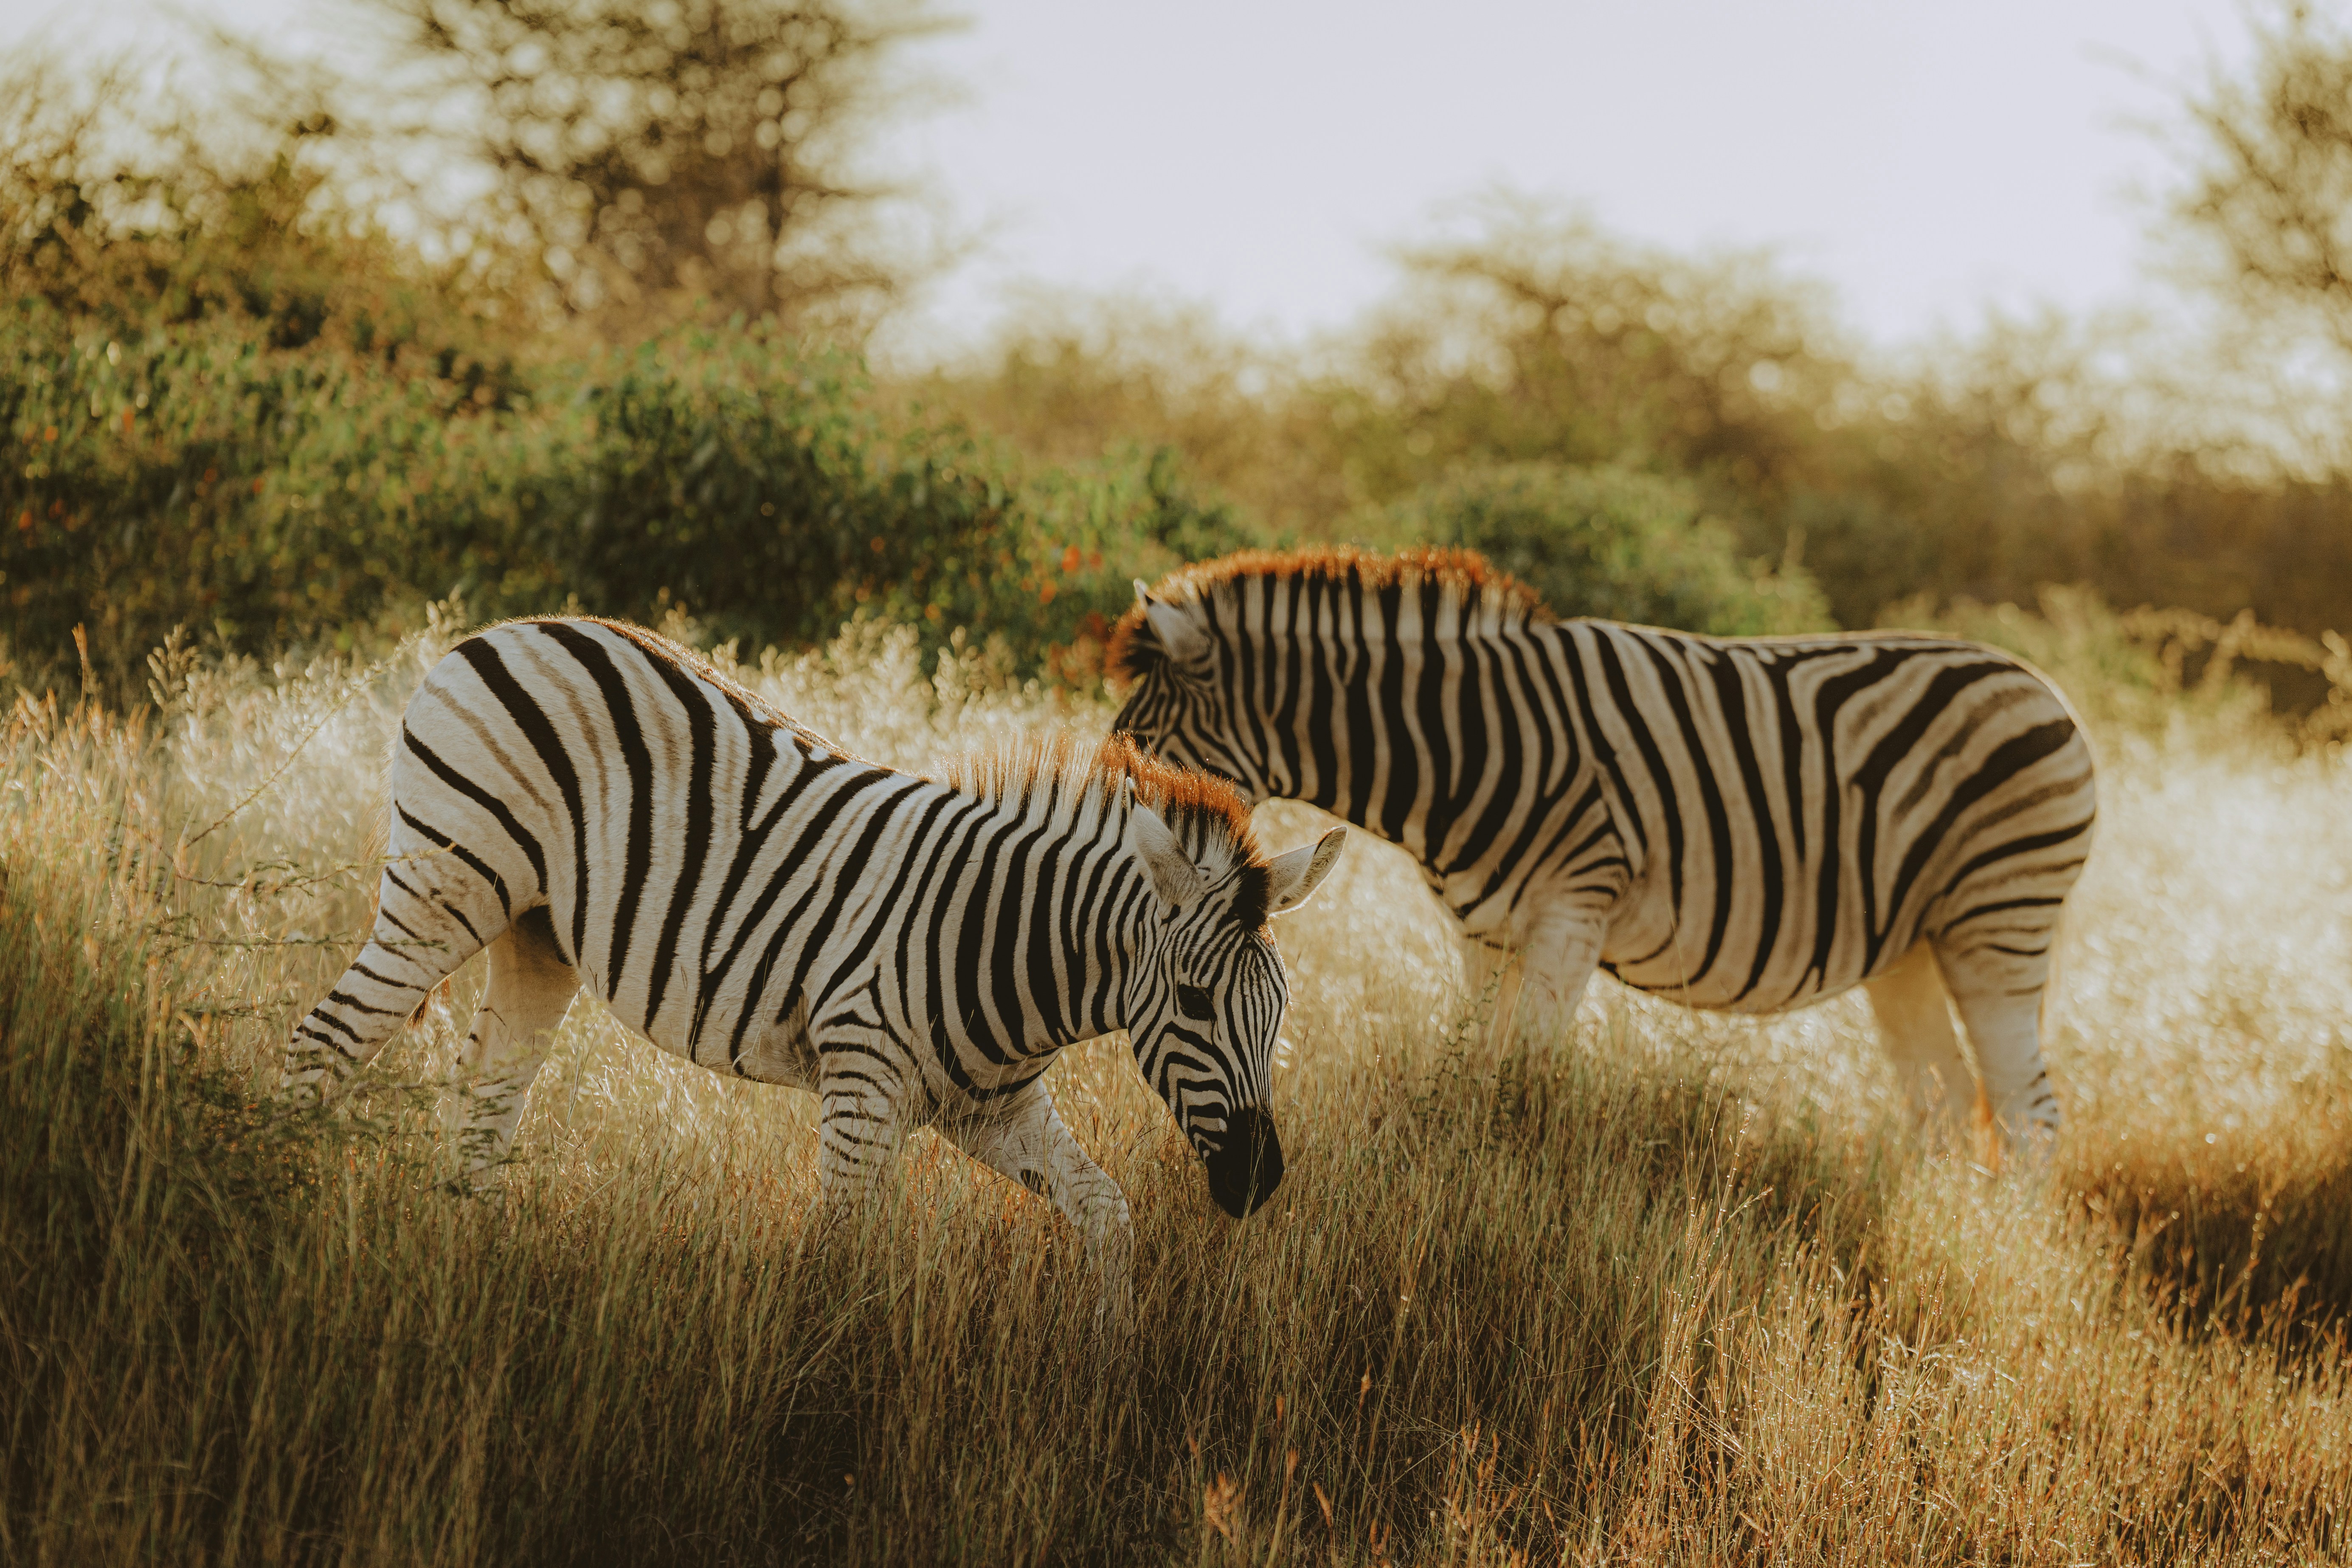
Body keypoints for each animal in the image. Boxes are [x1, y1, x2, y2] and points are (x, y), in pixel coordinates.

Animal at [281, 617, 1346, 1329]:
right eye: (1196, 1002)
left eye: (1280, 1010)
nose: (1259, 1183)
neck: (1005, 938)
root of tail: (494, 632)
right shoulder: (863, 1080)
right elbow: (840, 1256)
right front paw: (822, 1408)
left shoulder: (991, 1106)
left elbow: (1106, 1212)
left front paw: (1111, 1360)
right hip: (450, 881)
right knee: (322, 1043)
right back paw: (278, 1227)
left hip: (537, 931)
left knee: (484, 1106)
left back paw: (478, 1277)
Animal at [1108, 548, 2097, 1157]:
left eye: (1148, 744)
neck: (1466, 743)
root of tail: (2048, 689)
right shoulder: (1483, 930)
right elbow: (1475, 1068)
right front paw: (1467, 1171)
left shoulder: (1572, 910)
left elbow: (1525, 1076)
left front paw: (1511, 1193)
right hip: (1911, 946)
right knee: (1945, 1103)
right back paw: (1945, 1226)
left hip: (1997, 916)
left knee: (2032, 1114)